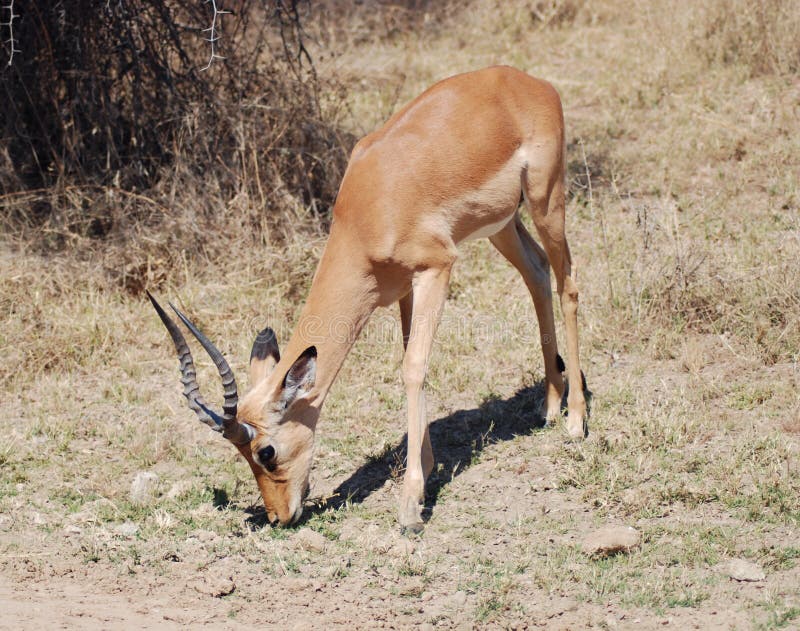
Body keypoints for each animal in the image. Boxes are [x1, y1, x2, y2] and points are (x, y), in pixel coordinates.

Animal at [149, 66, 587, 532]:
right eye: (242, 455)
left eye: (266, 451)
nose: (279, 516)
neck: (370, 207)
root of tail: (530, 82)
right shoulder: (404, 288)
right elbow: (411, 357)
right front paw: (425, 472)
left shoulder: (437, 268)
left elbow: (413, 368)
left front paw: (410, 507)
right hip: (502, 224)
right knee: (537, 272)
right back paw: (550, 405)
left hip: (546, 200)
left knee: (568, 284)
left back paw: (576, 421)